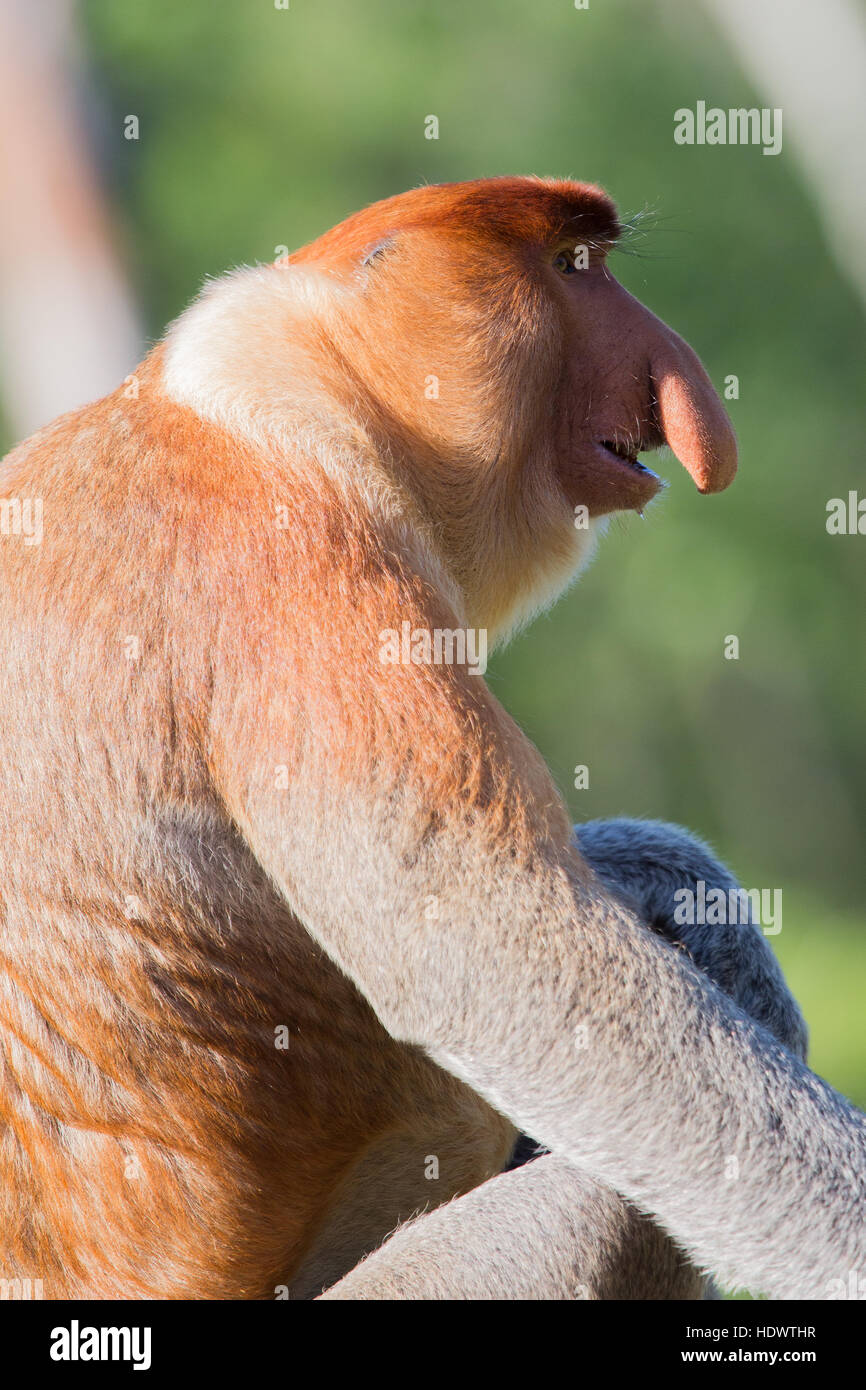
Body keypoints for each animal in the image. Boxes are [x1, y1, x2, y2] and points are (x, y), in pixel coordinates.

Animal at [0, 176, 863, 1301]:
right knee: (606, 1198)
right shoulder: (298, 550)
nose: (680, 377)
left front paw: (693, 902)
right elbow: (486, 948)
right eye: (573, 268)